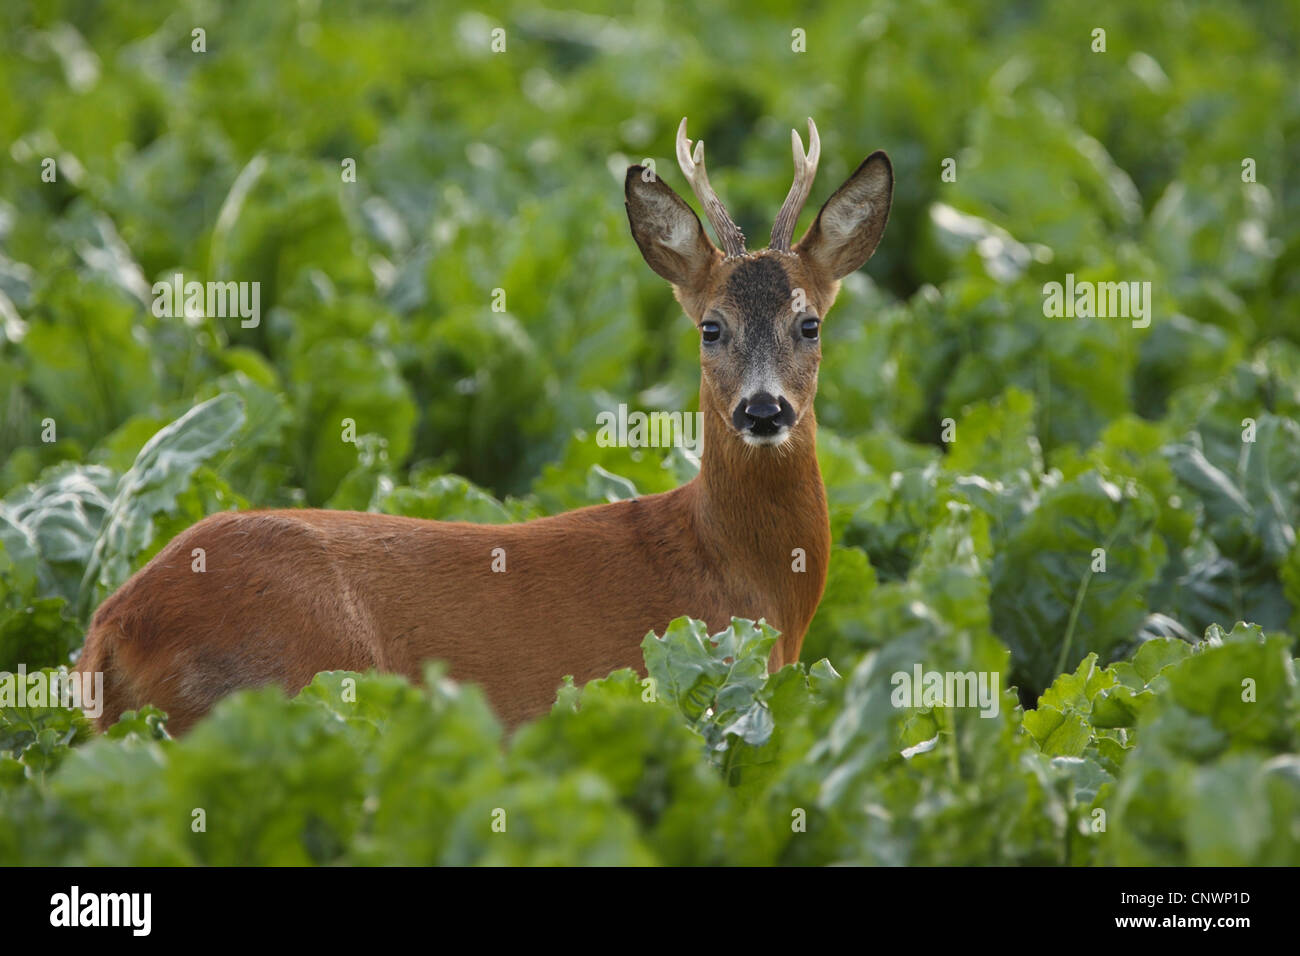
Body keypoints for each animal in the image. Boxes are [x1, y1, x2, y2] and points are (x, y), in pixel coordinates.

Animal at [75, 118, 893, 734]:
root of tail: (109, 629)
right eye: (711, 328)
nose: (763, 410)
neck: (736, 572)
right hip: (276, 680)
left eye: (810, 323)